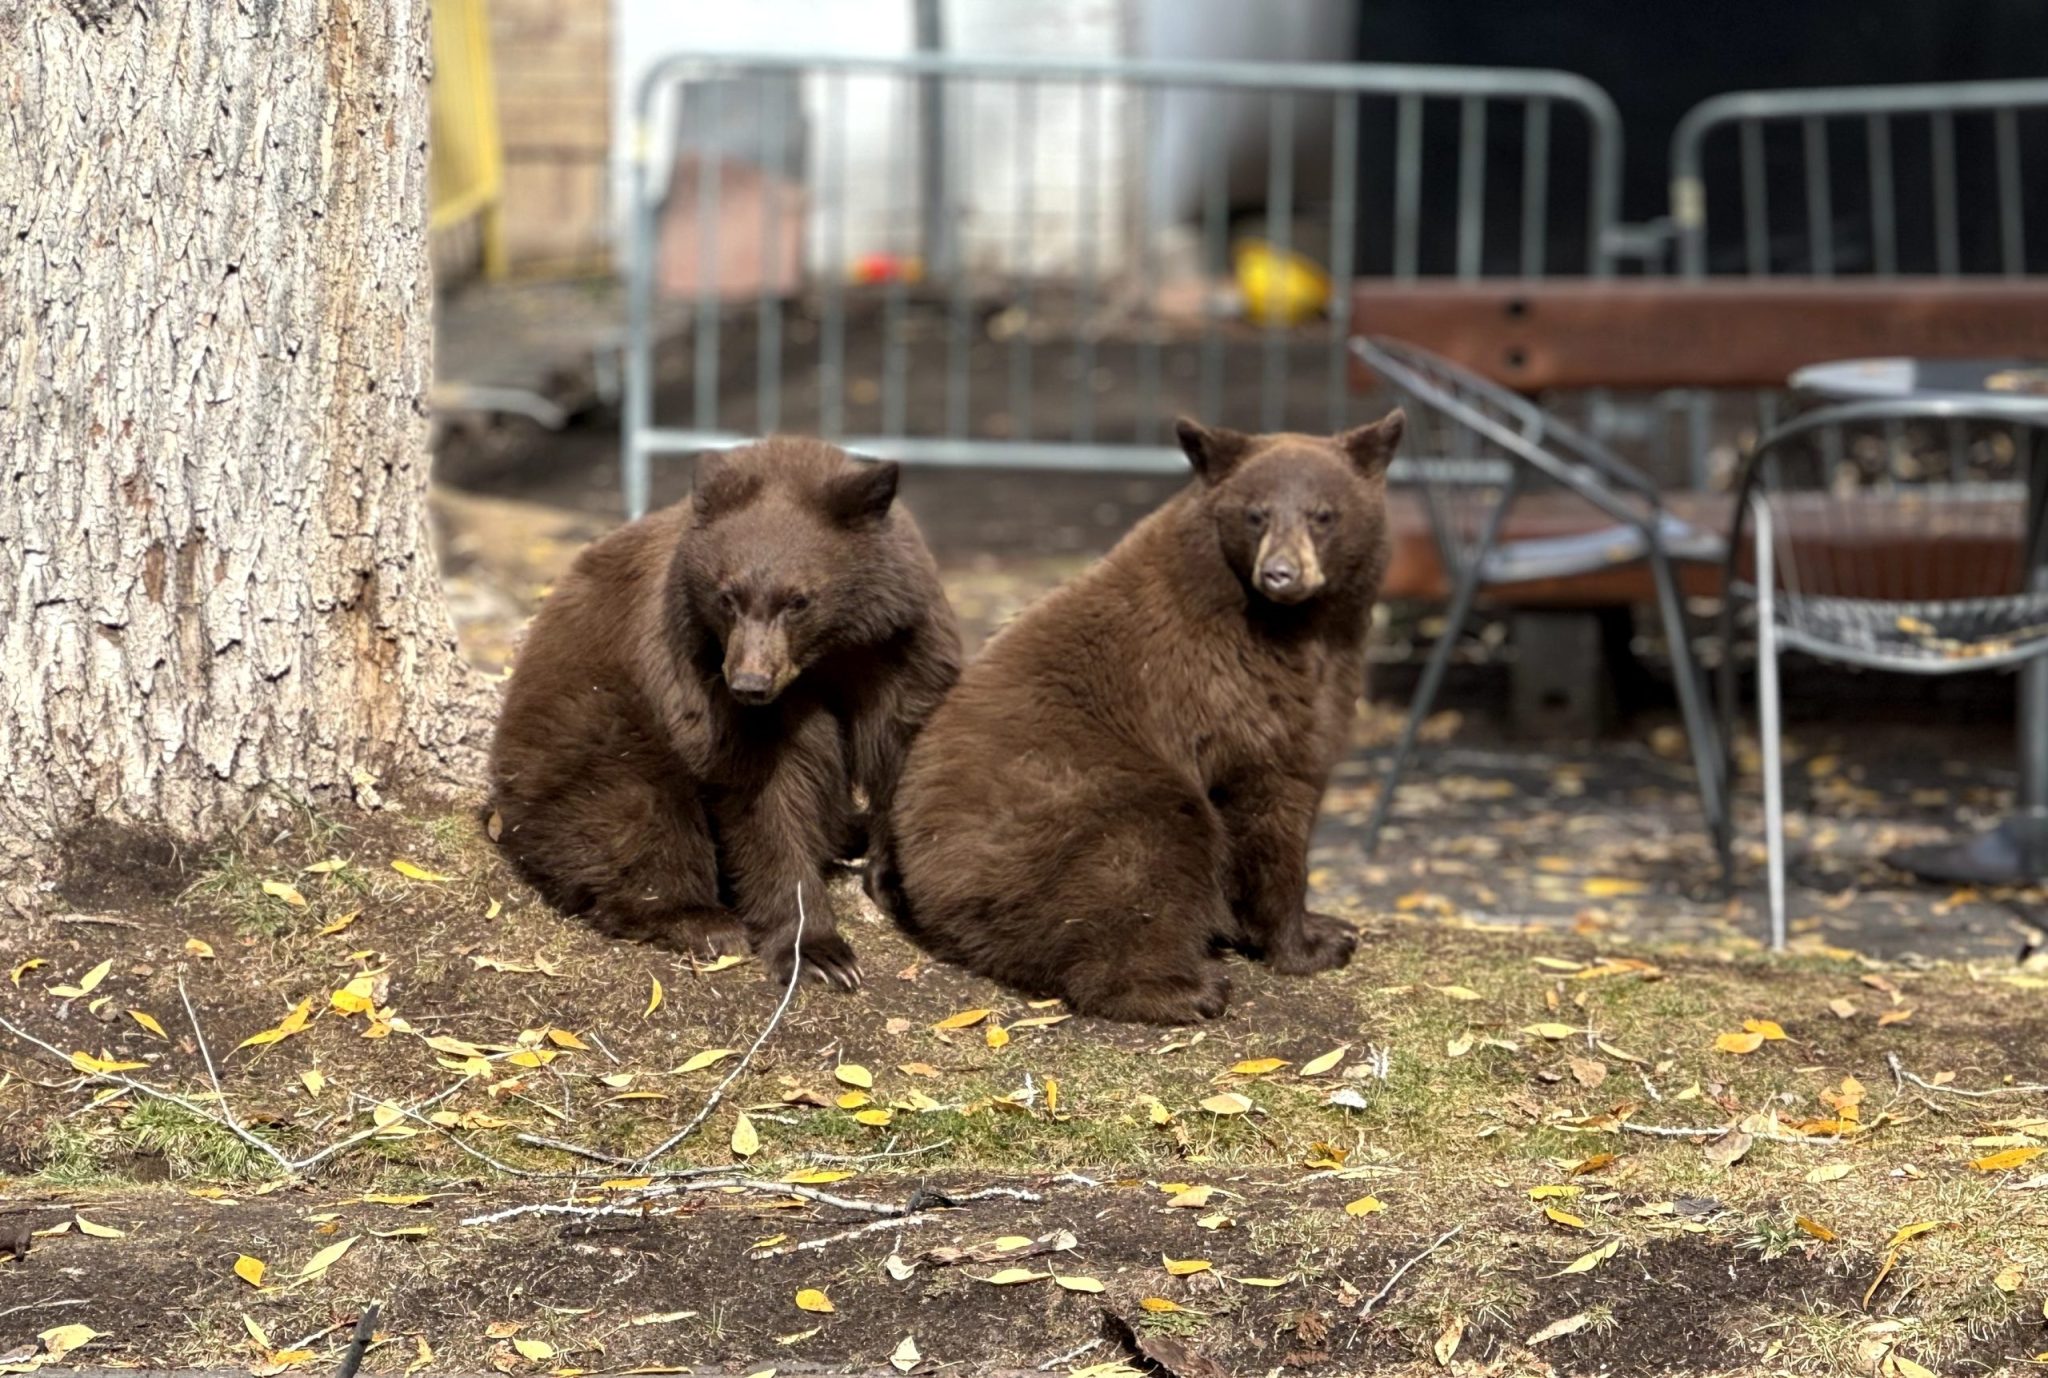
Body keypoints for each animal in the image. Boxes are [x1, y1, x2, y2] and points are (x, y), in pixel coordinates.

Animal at [489, 437, 961, 990]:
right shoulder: (698, 670)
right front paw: (820, 953)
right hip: (587, 736)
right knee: (634, 815)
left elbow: (905, 746)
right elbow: (763, 792)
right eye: (727, 596)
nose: (749, 683)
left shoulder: (901, 647)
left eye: (798, 600)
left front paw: (898, 881)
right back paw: (703, 920)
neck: (828, 657)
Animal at [870, 411, 1404, 1023]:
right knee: (1140, 862)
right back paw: (1188, 987)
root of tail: (917, 873)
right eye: (1255, 514)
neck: (1298, 629)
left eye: (1323, 515)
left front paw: (1326, 924)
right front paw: (1313, 945)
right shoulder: (1230, 692)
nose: (1280, 574)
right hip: (1081, 809)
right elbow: (1269, 809)